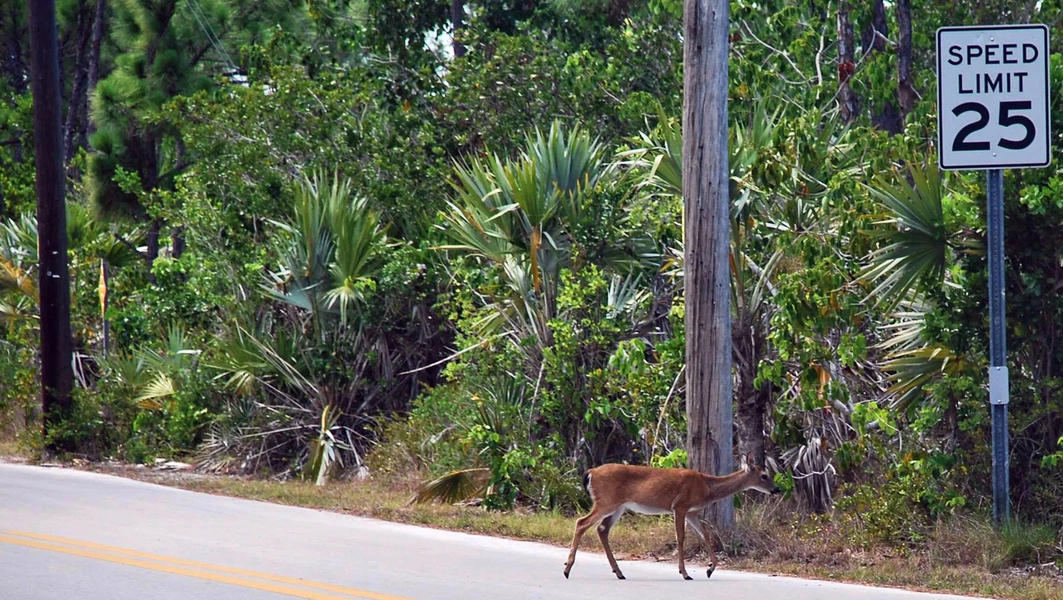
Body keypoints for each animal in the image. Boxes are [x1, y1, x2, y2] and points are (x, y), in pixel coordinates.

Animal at [563, 453, 779, 581]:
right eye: (764, 476)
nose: (776, 490)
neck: (706, 486)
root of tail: (590, 472)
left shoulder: (692, 512)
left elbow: (706, 533)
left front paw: (710, 568)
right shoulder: (680, 506)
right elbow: (681, 538)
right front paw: (685, 573)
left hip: (618, 506)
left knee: (602, 529)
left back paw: (619, 572)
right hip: (606, 501)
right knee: (581, 522)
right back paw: (567, 569)